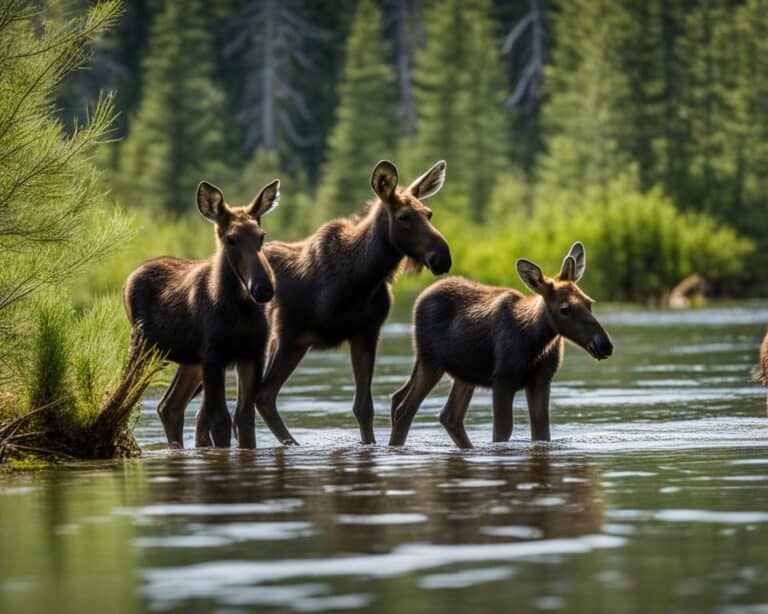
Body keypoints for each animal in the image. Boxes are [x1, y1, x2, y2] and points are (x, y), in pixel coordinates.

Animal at [123, 179, 280, 449]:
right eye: (231, 238)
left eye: (261, 236)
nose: (263, 288)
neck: (239, 310)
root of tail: (128, 280)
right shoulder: (214, 356)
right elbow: (220, 421)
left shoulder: (252, 355)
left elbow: (245, 421)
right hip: (143, 347)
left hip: (190, 361)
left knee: (169, 406)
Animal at [389, 242, 614, 449]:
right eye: (564, 309)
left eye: (589, 302)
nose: (604, 344)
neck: (536, 341)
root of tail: (420, 298)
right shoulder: (502, 380)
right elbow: (502, 433)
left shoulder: (542, 380)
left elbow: (542, 433)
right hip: (431, 362)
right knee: (404, 410)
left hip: (463, 374)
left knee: (448, 415)